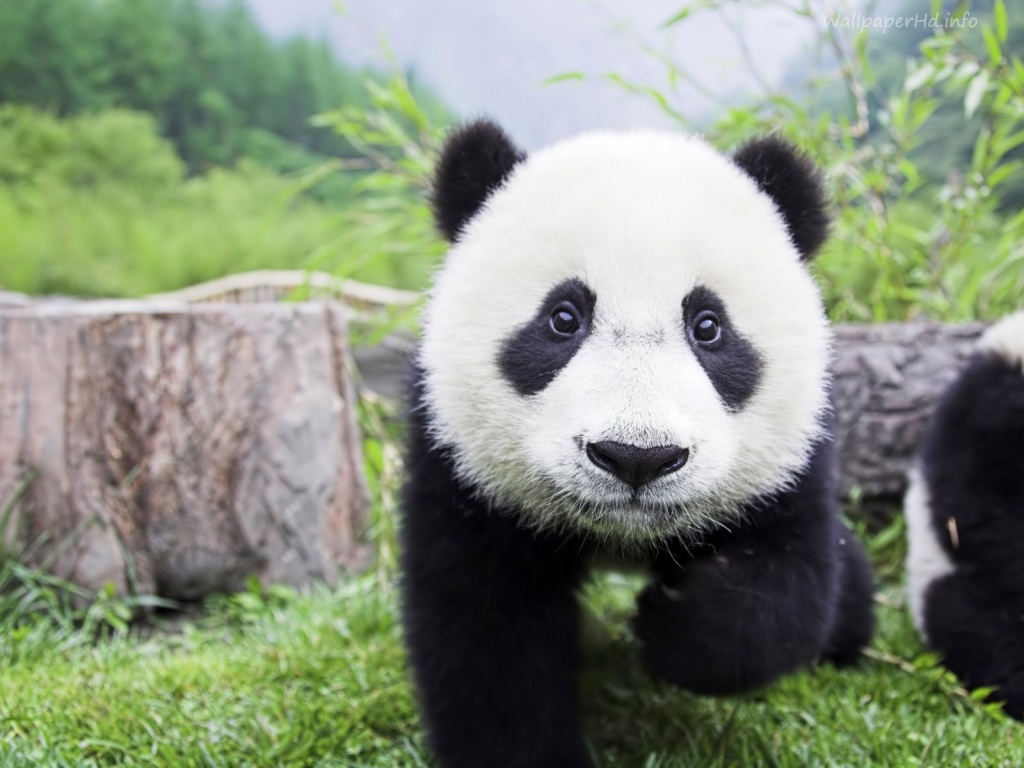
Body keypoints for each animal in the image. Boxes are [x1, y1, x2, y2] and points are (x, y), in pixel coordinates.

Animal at [400, 119, 875, 768]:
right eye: (563, 318)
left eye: (708, 326)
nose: (637, 457)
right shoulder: (460, 466)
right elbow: (486, 633)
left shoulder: (792, 461)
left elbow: (785, 583)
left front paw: (673, 623)